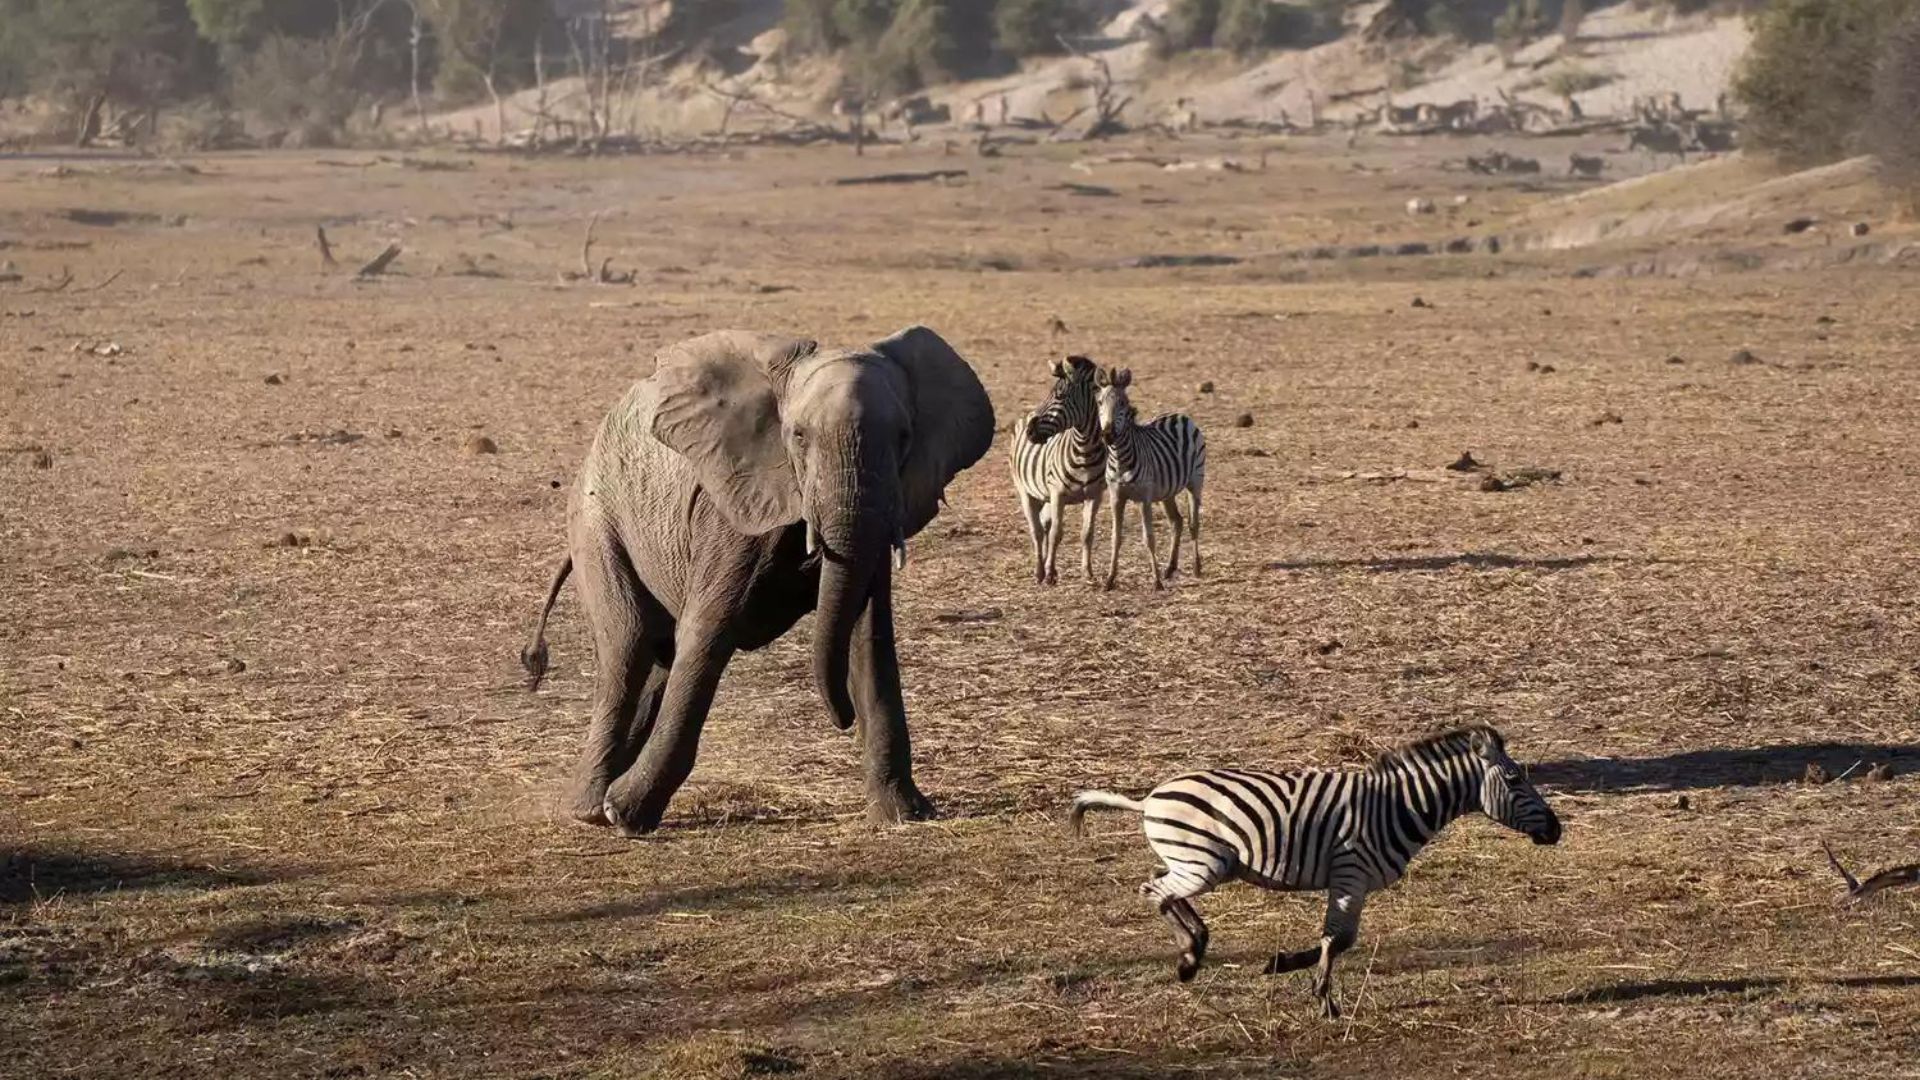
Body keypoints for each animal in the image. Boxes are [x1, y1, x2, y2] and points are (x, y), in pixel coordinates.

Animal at [1010, 356, 1106, 585]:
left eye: (1060, 396)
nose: (1030, 432)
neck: (1085, 451)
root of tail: (1027, 413)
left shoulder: (1095, 495)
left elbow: (1087, 533)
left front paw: (1087, 573)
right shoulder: (1058, 493)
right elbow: (1056, 533)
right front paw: (1050, 573)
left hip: (1045, 496)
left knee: (1044, 526)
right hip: (1025, 492)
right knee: (1037, 531)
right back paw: (1039, 571)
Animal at [1070, 725, 1562, 1017]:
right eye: (1515, 780)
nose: (1557, 830)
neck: (1398, 806)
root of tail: (1149, 798)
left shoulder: (1349, 881)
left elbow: (1334, 939)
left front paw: (1284, 966)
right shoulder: (1351, 874)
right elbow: (1338, 939)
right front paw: (1324, 1000)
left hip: (1201, 862)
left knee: (1160, 885)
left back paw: (1199, 942)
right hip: (1204, 863)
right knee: (1155, 890)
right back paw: (1190, 956)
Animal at [1095, 367, 1204, 590]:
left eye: (1123, 403)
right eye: (1100, 402)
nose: (1108, 435)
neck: (1120, 458)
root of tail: (1179, 414)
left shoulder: (1144, 498)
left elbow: (1149, 538)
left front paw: (1156, 581)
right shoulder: (1116, 497)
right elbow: (1115, 537)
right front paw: (1110, 579)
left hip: (1195, 481)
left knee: (1193, 524)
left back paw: (1197, 568)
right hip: (1167, 491)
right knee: (1177, 522)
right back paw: (1170, 568)